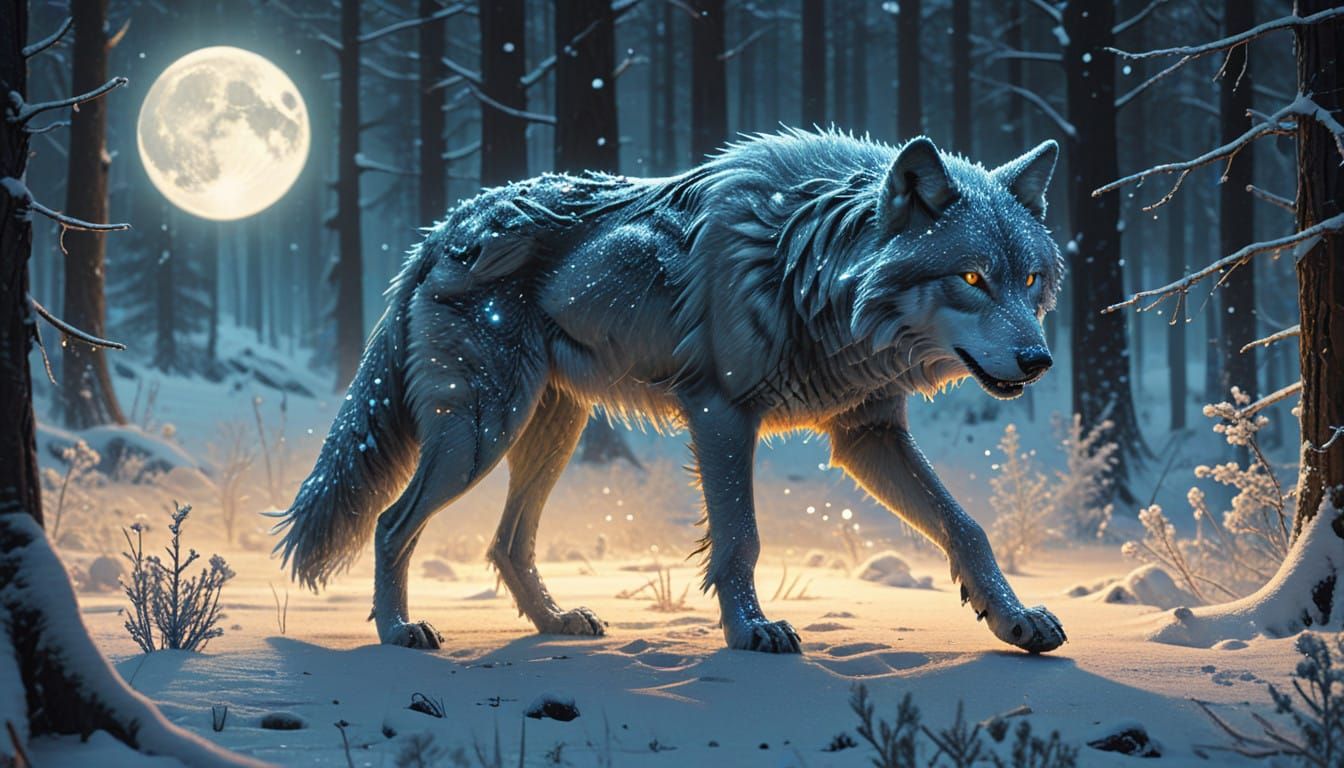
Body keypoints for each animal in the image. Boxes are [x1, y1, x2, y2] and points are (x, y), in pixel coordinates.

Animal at [272, 129, 1068, 655]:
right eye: (971, 278)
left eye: (1029, 279)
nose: (1038, 361)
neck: (812, 263)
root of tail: (443, 228)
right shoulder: (721, 414)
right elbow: (740, 538)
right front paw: (751, 629)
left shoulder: (868, 435)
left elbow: (967, 526)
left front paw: (1014, 618)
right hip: (479, 431)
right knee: (391, 522)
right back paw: (398, 631)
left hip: (549, 433)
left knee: (505, 542)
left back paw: (557, 625)